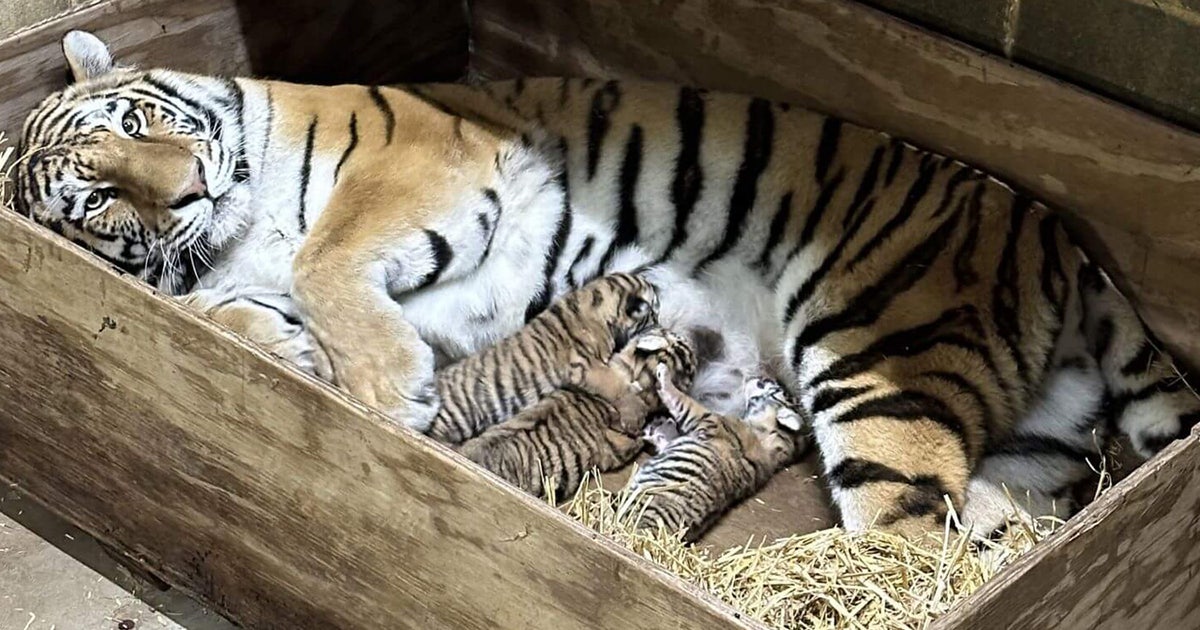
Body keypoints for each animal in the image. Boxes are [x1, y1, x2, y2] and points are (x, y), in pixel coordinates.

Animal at [627, 366, 805, 541]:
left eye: (768, 384)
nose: (762, 375)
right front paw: (658, 429)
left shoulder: (705, 418)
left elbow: (679, 397)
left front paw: (664, 373)